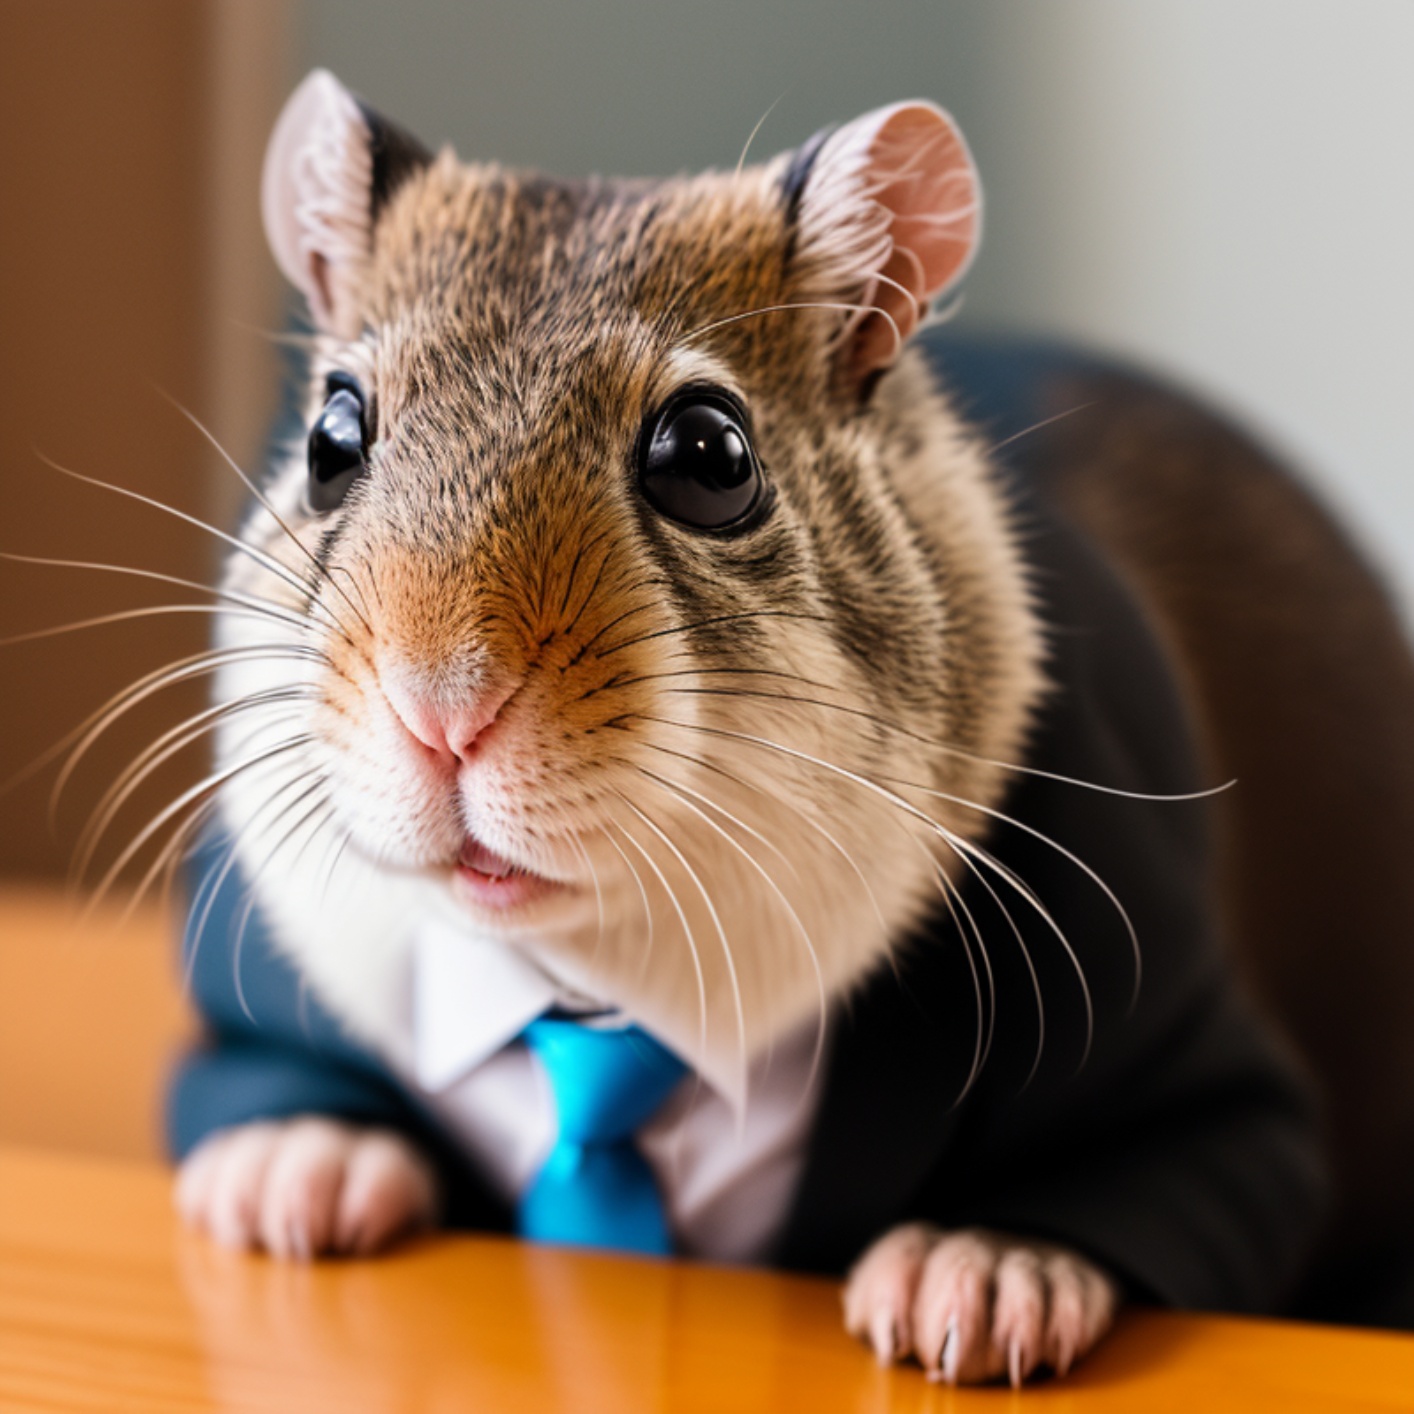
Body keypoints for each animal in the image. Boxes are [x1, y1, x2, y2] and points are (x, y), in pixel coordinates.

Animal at [170, 66, 1414, 1383]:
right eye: (330, 439)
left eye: (709, 454)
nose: (440, 715)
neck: (593, 979)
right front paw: (288, 1174)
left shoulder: (1200, 1064)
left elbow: (1174, 1165)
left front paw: (971, 1287)